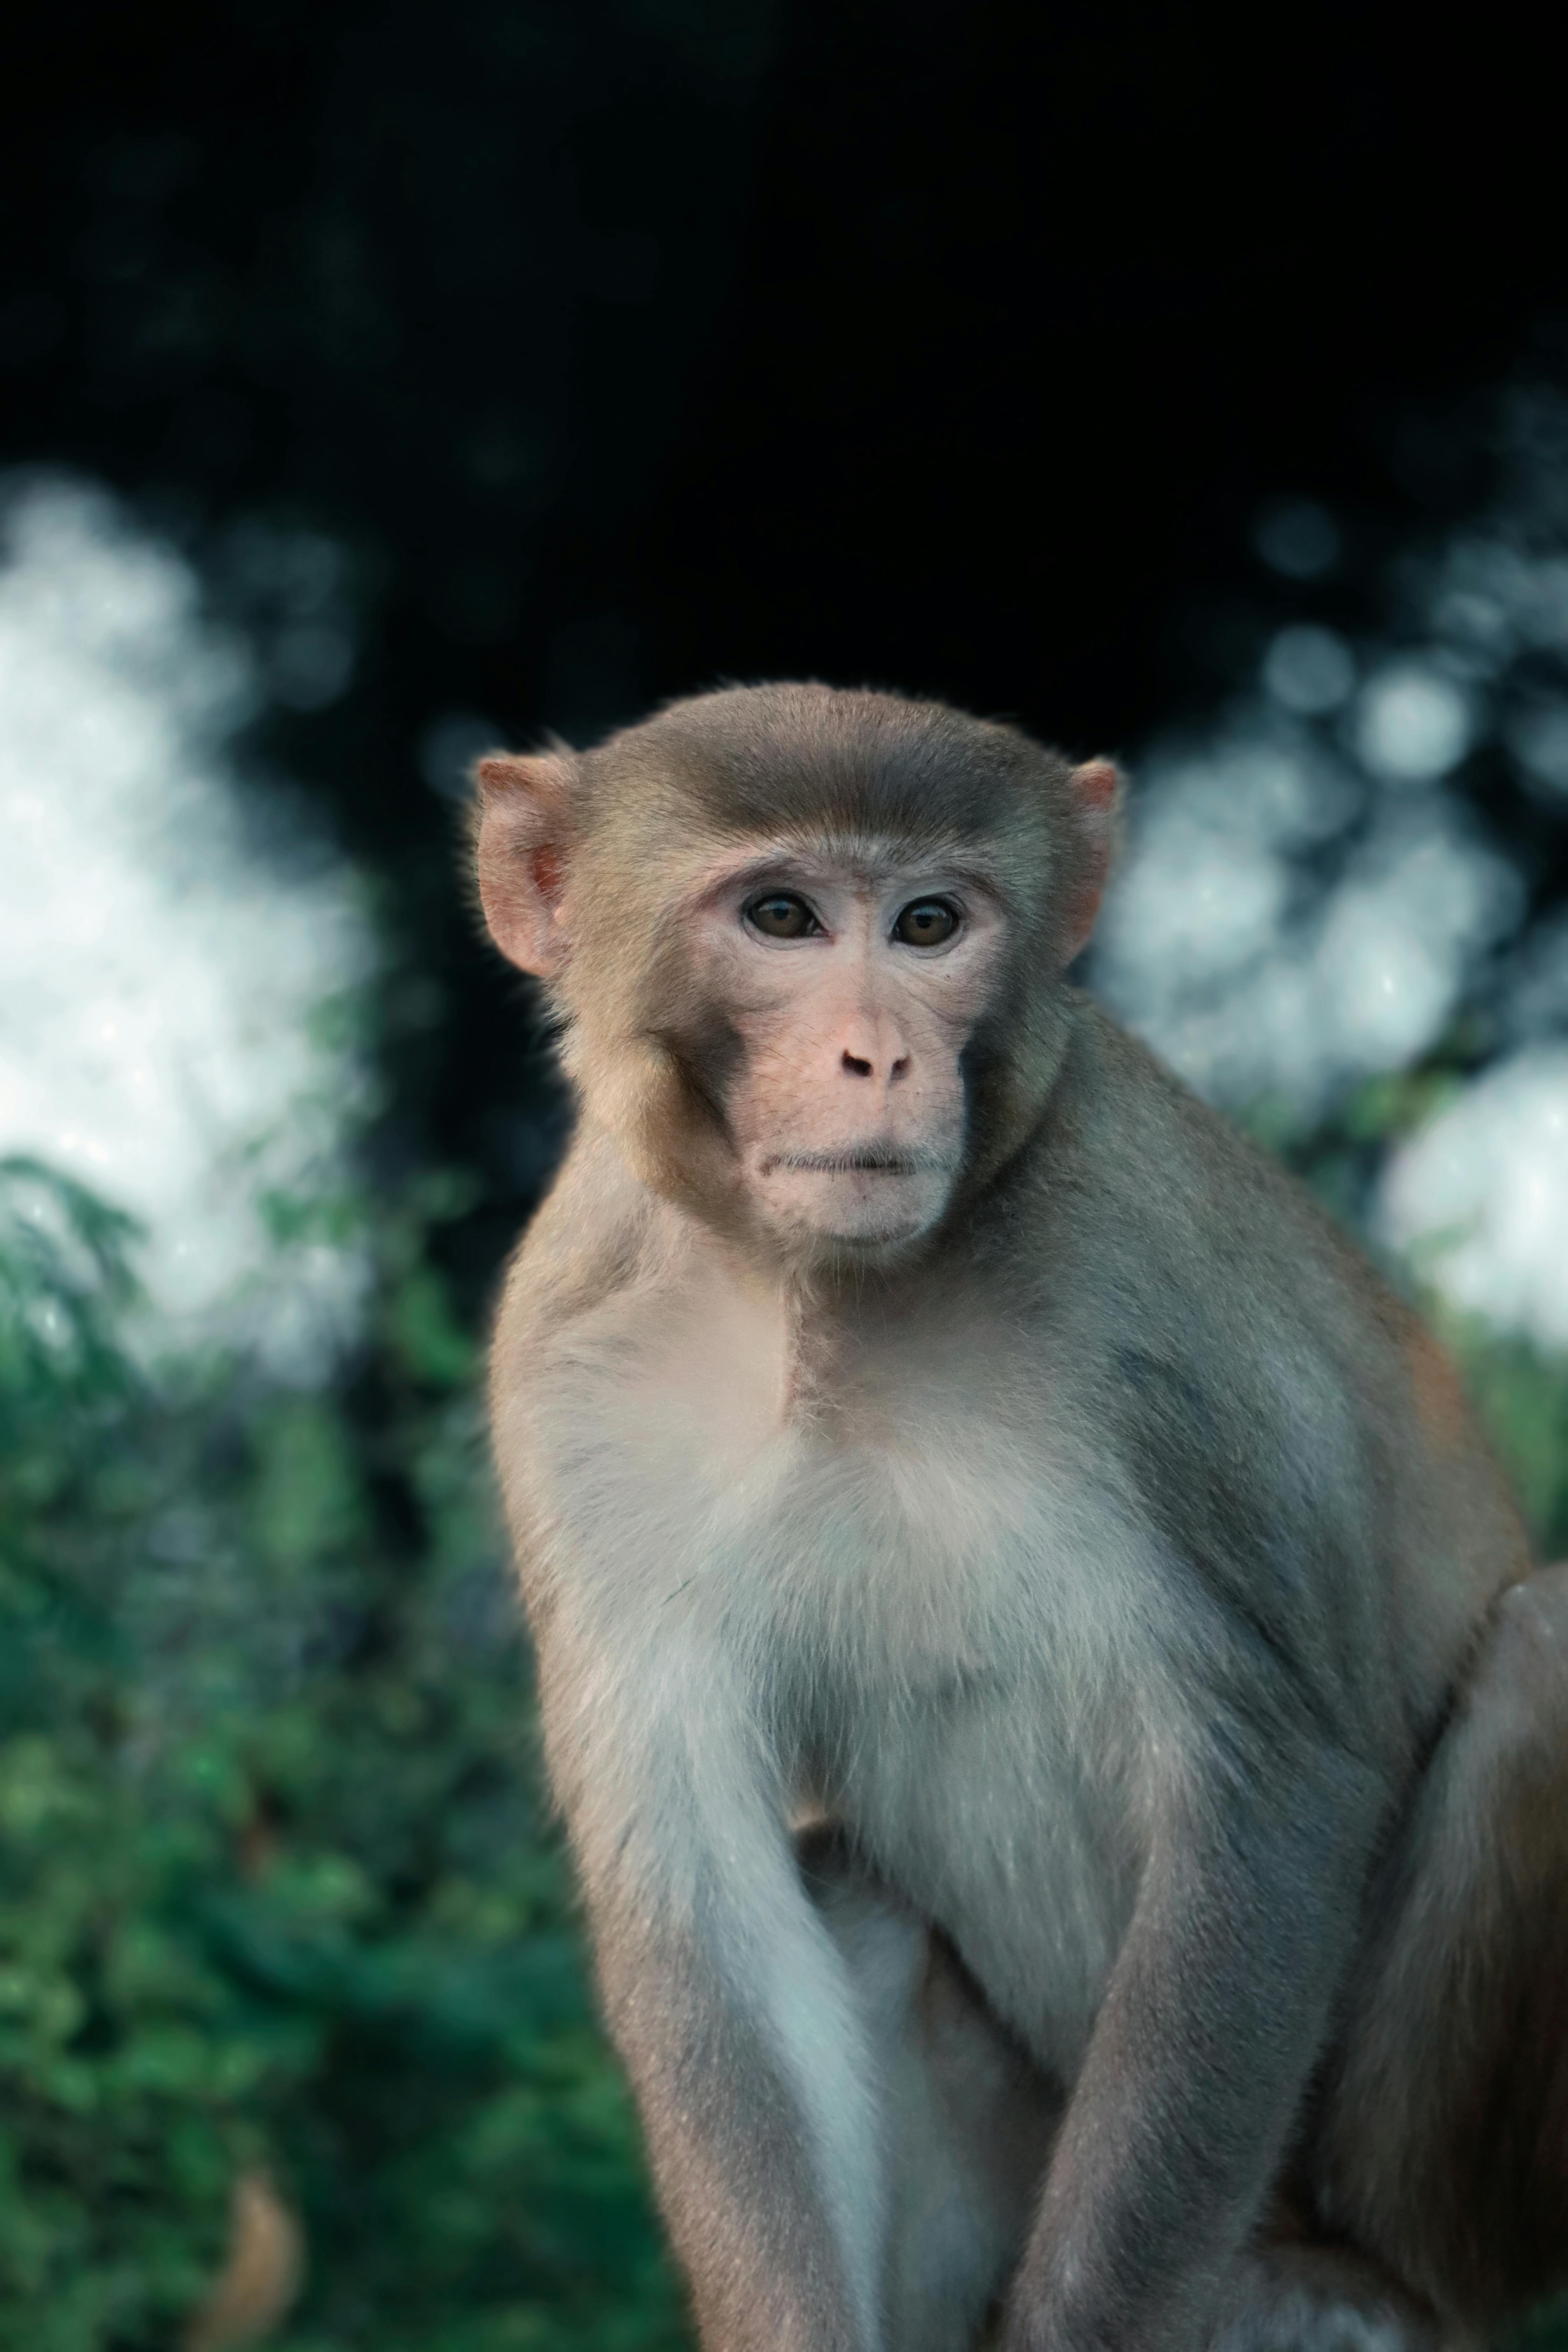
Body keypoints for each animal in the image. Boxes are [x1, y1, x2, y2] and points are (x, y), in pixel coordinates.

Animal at [474, 681, 1568, 2352]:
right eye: (781, 915)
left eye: (930, 922)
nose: (875, 1055)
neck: (828, 1301)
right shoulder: (569, 1366)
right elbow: (701, 1890)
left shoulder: (1146, 1294)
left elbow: (1274, 1779)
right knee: (850, 1899)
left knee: (1543, 1650)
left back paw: (1360, 2269)